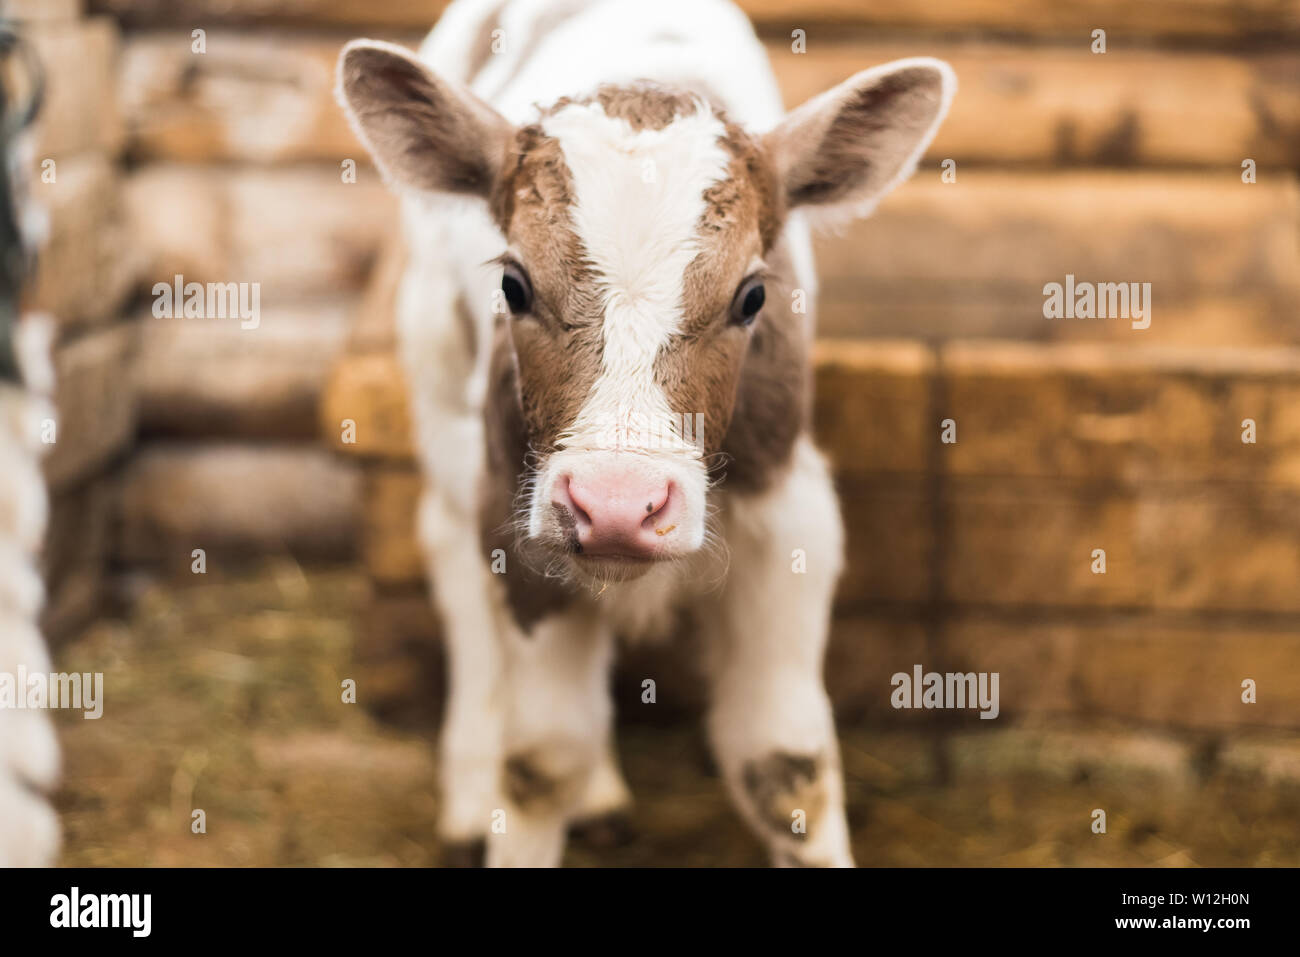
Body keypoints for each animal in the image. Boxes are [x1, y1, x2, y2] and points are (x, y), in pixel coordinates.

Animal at [336, 0, 954, 867]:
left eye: (753, 296)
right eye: (513, 284)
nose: (617, 504)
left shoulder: (791, 511)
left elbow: (786, 764)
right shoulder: (513, 508)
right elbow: (540, 761)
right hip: (435, 371)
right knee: (450, 554)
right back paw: (469, 788)